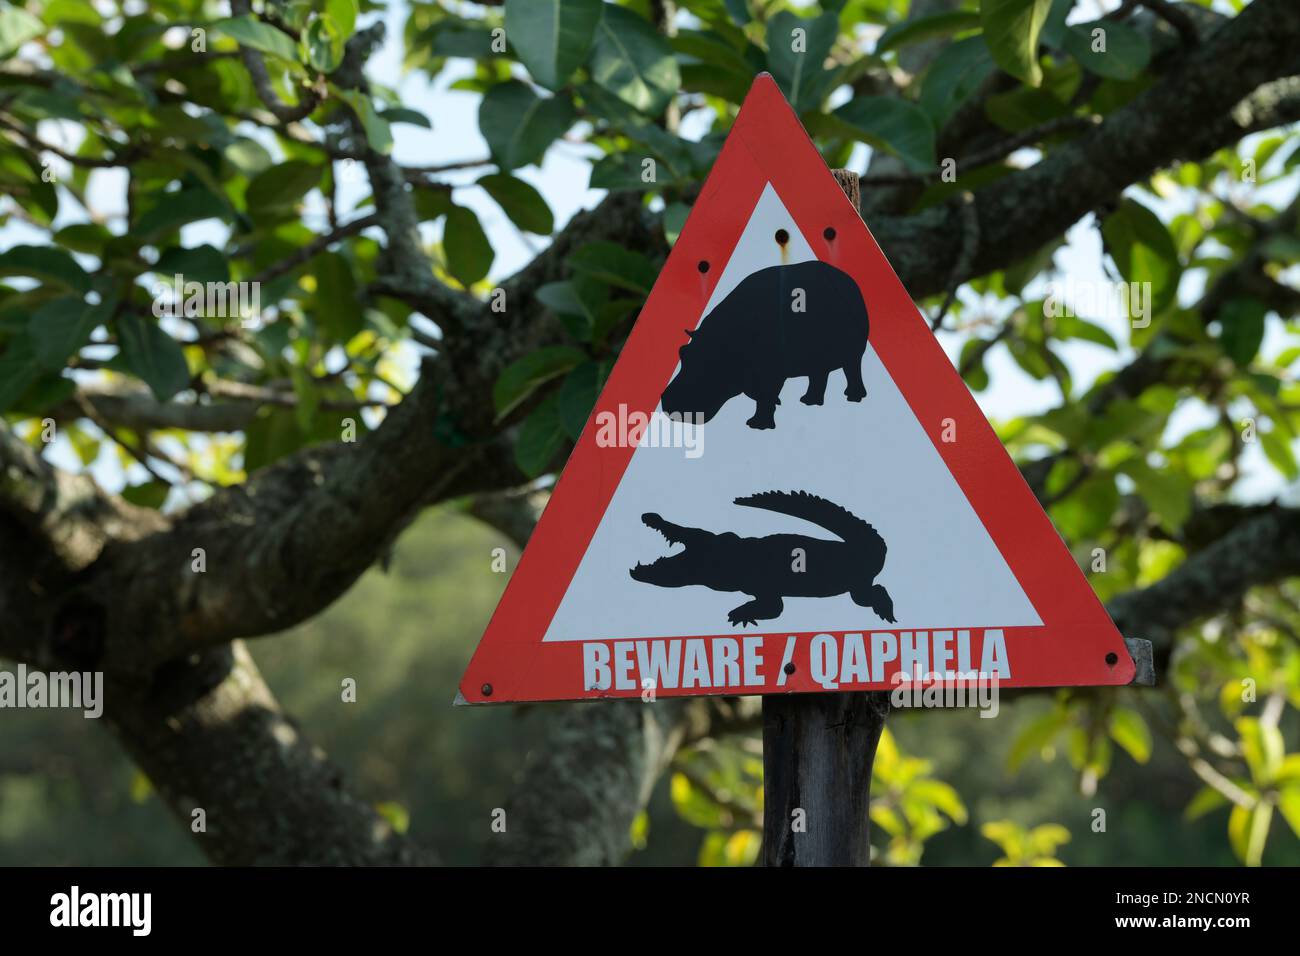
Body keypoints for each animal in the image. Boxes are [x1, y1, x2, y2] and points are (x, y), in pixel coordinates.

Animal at [660, 260, 869, 430]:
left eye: (713, 364)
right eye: (682, 351)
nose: (670, 402)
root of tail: (849, 281)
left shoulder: (771, 373)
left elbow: (765, 396)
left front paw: (758, 426)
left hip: (854, 352)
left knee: (853, 370)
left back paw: (854, 397)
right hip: (817, 356)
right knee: (819, 375)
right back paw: (808, 401)